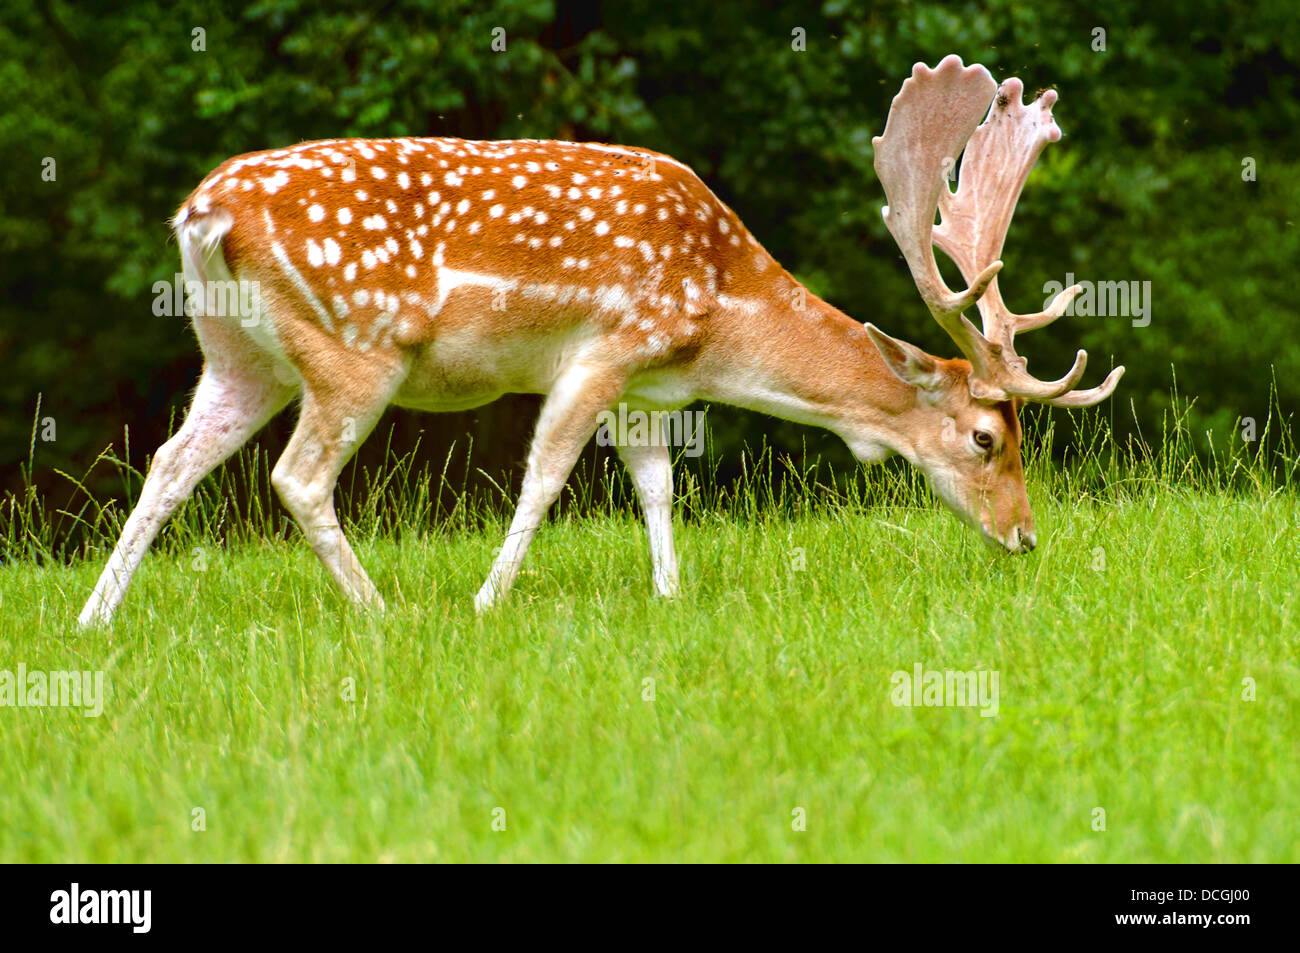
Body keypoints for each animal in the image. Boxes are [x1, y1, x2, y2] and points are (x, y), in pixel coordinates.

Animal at [77, 54, 1122, 627]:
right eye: (987, 438)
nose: (1024, 535)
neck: (716, 316)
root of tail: (200, 214)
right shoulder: (608, 347)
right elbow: (545, 474)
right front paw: (487, 602)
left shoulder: (645, 388)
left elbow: (657, 487)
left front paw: (668, 595)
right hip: (354, 344)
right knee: (296, 476)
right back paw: (382, 611)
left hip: (237, 352)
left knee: (172, 459)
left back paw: (94, 617)